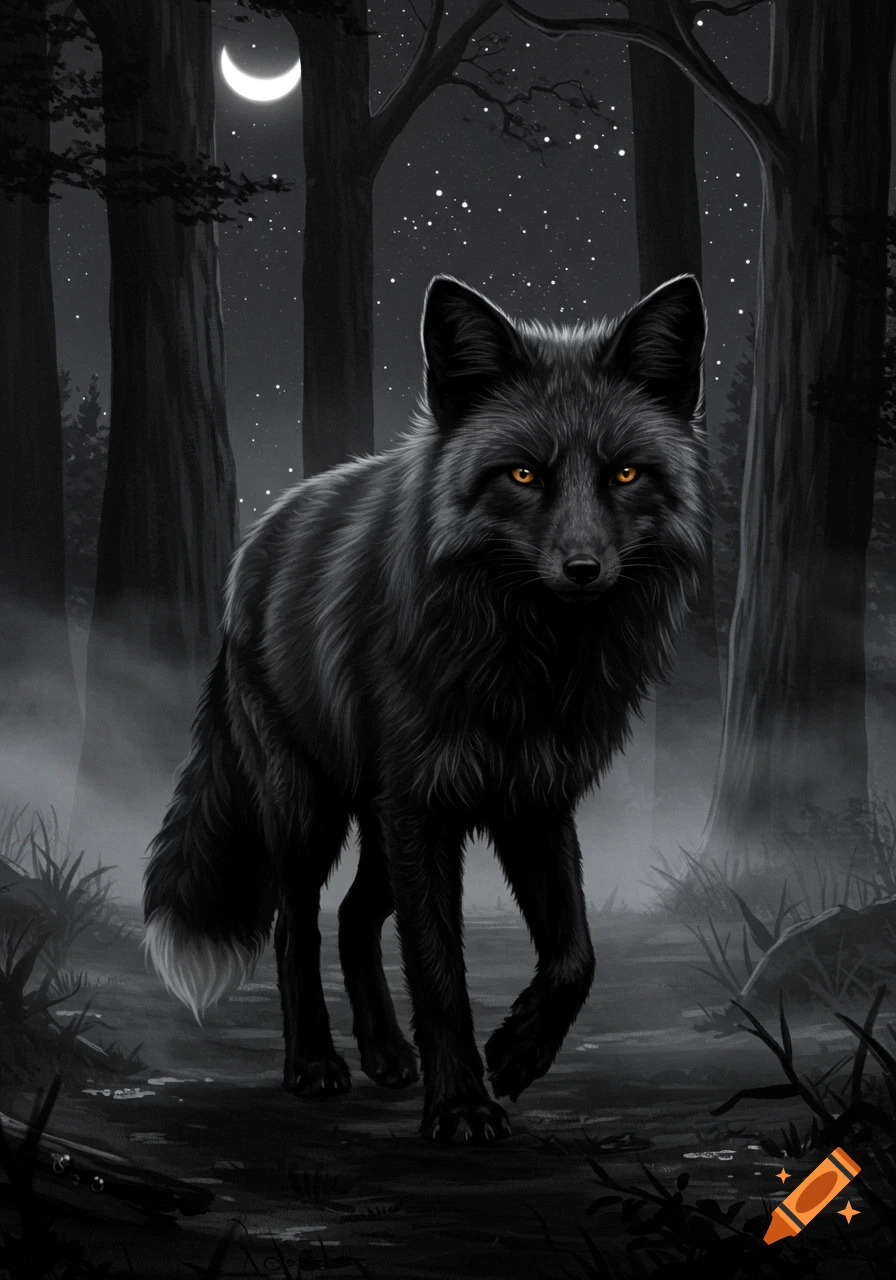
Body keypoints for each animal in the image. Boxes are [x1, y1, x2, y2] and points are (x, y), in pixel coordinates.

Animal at [143, 273, 710, 1143]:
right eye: (523, 476)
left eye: (624, 475)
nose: (583, 569)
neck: (524, 666)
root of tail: (257, 542)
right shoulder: (422, 806)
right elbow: (440, 971)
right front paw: (462, 1106)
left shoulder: (530, 800)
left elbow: (575, 954)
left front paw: (517, 1052)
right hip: (312, 812)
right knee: (295, 925)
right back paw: (314, 1065)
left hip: (381, 827)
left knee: (354, 918)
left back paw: (384, 1054)